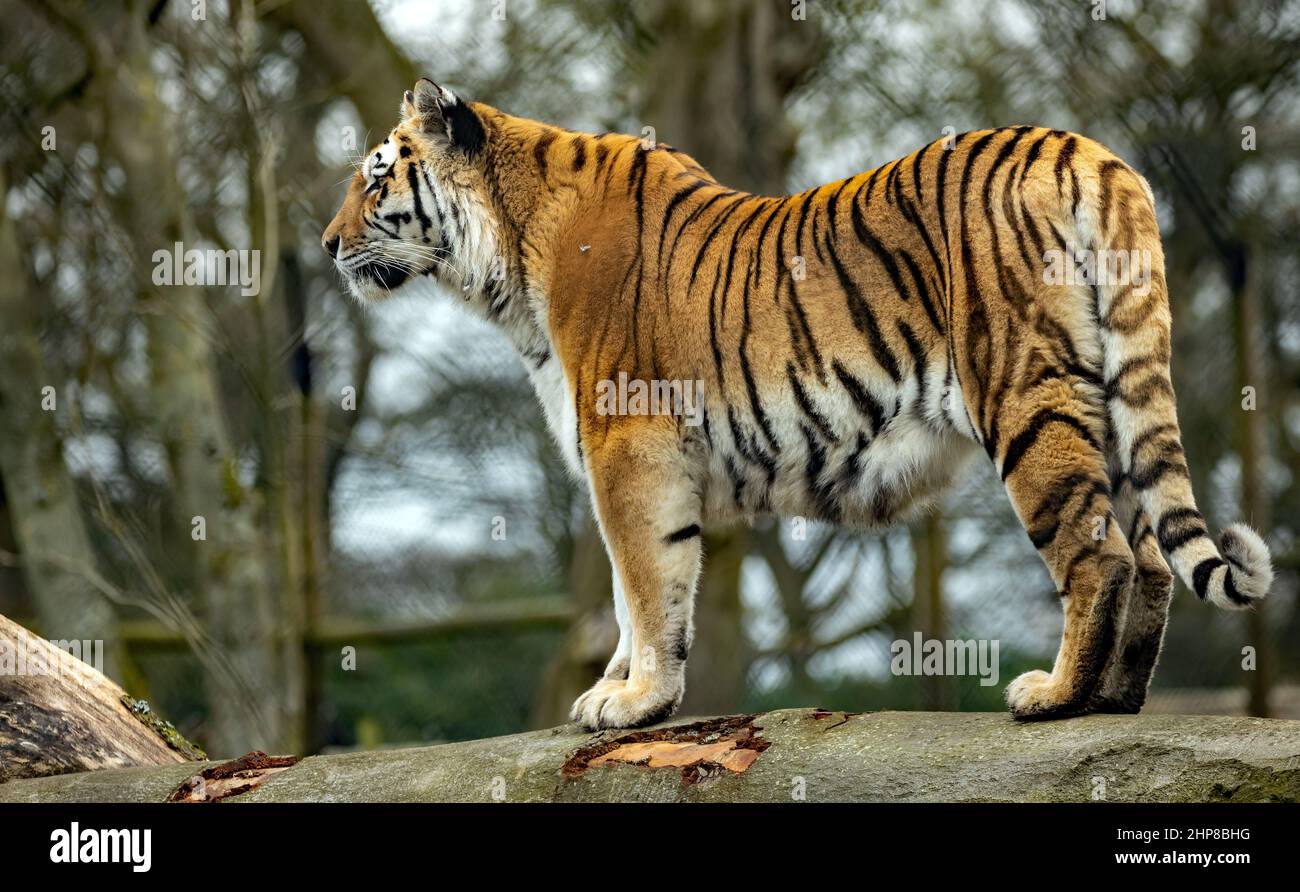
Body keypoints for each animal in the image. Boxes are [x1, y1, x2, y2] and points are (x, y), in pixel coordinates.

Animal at [322, 79, 1273, 731]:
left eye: (374, 182)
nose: (328, 245)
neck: (507, 261)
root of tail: (1089, 152)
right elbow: (630, 595)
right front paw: (612, 693)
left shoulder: (627, 440)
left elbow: (646, 580)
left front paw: (637, 701)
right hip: (1107, 399)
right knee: (1152, 559)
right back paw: (1114, 701)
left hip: (1024, 395)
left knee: (1100, 554)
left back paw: (1055, 697)